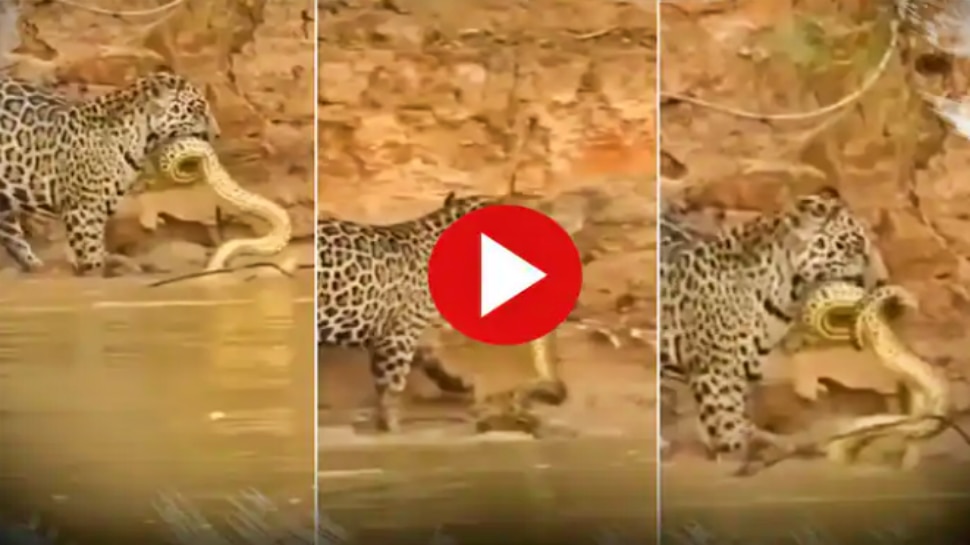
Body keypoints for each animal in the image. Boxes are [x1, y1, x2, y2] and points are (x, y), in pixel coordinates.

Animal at [318, 192, 495, 432]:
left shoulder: (400, 329)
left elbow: (428, 361)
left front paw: (458, 384)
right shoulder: (400, 333)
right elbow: (392, 383)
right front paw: (391, 425)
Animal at [659, 186, 890, 464]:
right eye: (854, 247)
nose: (882, 281)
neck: (787, 293)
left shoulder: (742, 370)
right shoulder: (718, 373)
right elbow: (729, 425)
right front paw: (735, 458)